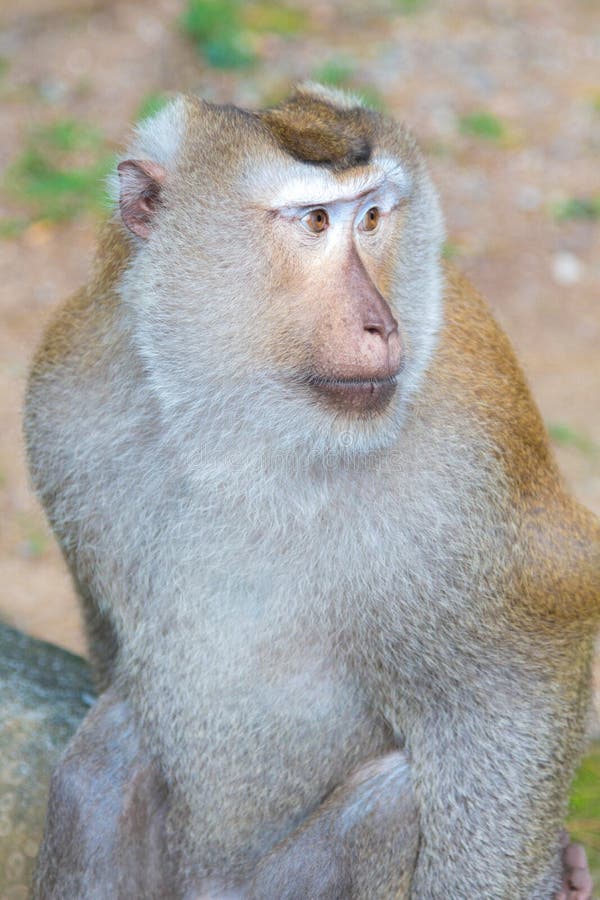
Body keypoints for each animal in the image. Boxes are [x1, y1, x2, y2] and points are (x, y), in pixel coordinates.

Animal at [24, 83, 599, 898]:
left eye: (372, 218)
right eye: (317, 223)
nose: (381, 325)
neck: (241, 431)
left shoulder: (468, 462)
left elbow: (510, 688)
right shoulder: (65, 398)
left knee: (393, 802)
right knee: (104, 752)